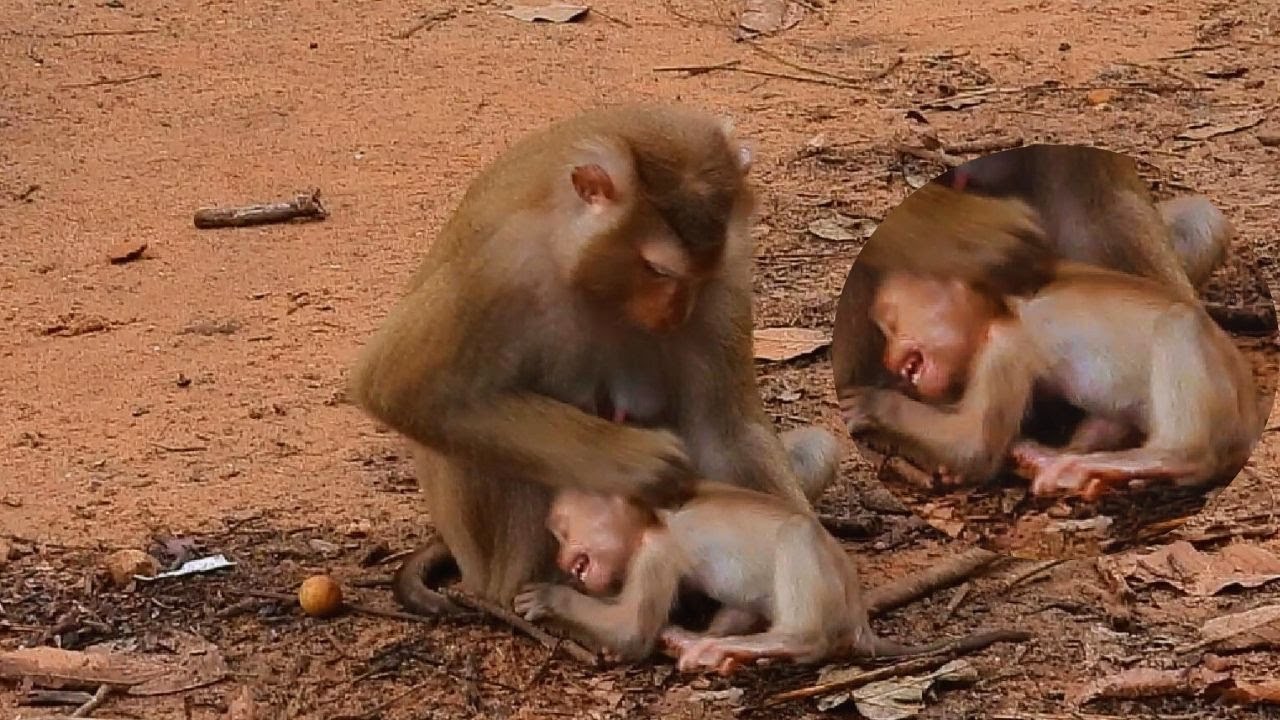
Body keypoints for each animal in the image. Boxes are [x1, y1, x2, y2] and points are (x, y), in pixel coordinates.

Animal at [350, 103, 847, 612]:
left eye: (699, 277)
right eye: (658, 269)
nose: (675, 313)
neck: (600, 280)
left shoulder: (727, 272)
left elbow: (724, 431)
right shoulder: (498, 265)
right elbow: (402, 388)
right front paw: (635, 461)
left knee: (815, 449)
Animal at [514, 483, 1025, 673]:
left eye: (562, 530)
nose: (562, 555)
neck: (651, 517)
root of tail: (861, 619)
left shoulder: (655, 552)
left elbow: (633, 632)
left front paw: (547, 597)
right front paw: (698, 643)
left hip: (822, 590)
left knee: (798, 548)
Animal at [842, 255, 1264, 500]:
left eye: (890, 323)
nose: (888, 354)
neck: (999, 309)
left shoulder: (1004, 347)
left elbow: (975, 447)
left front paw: (869, 403)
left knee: (1179, 329)